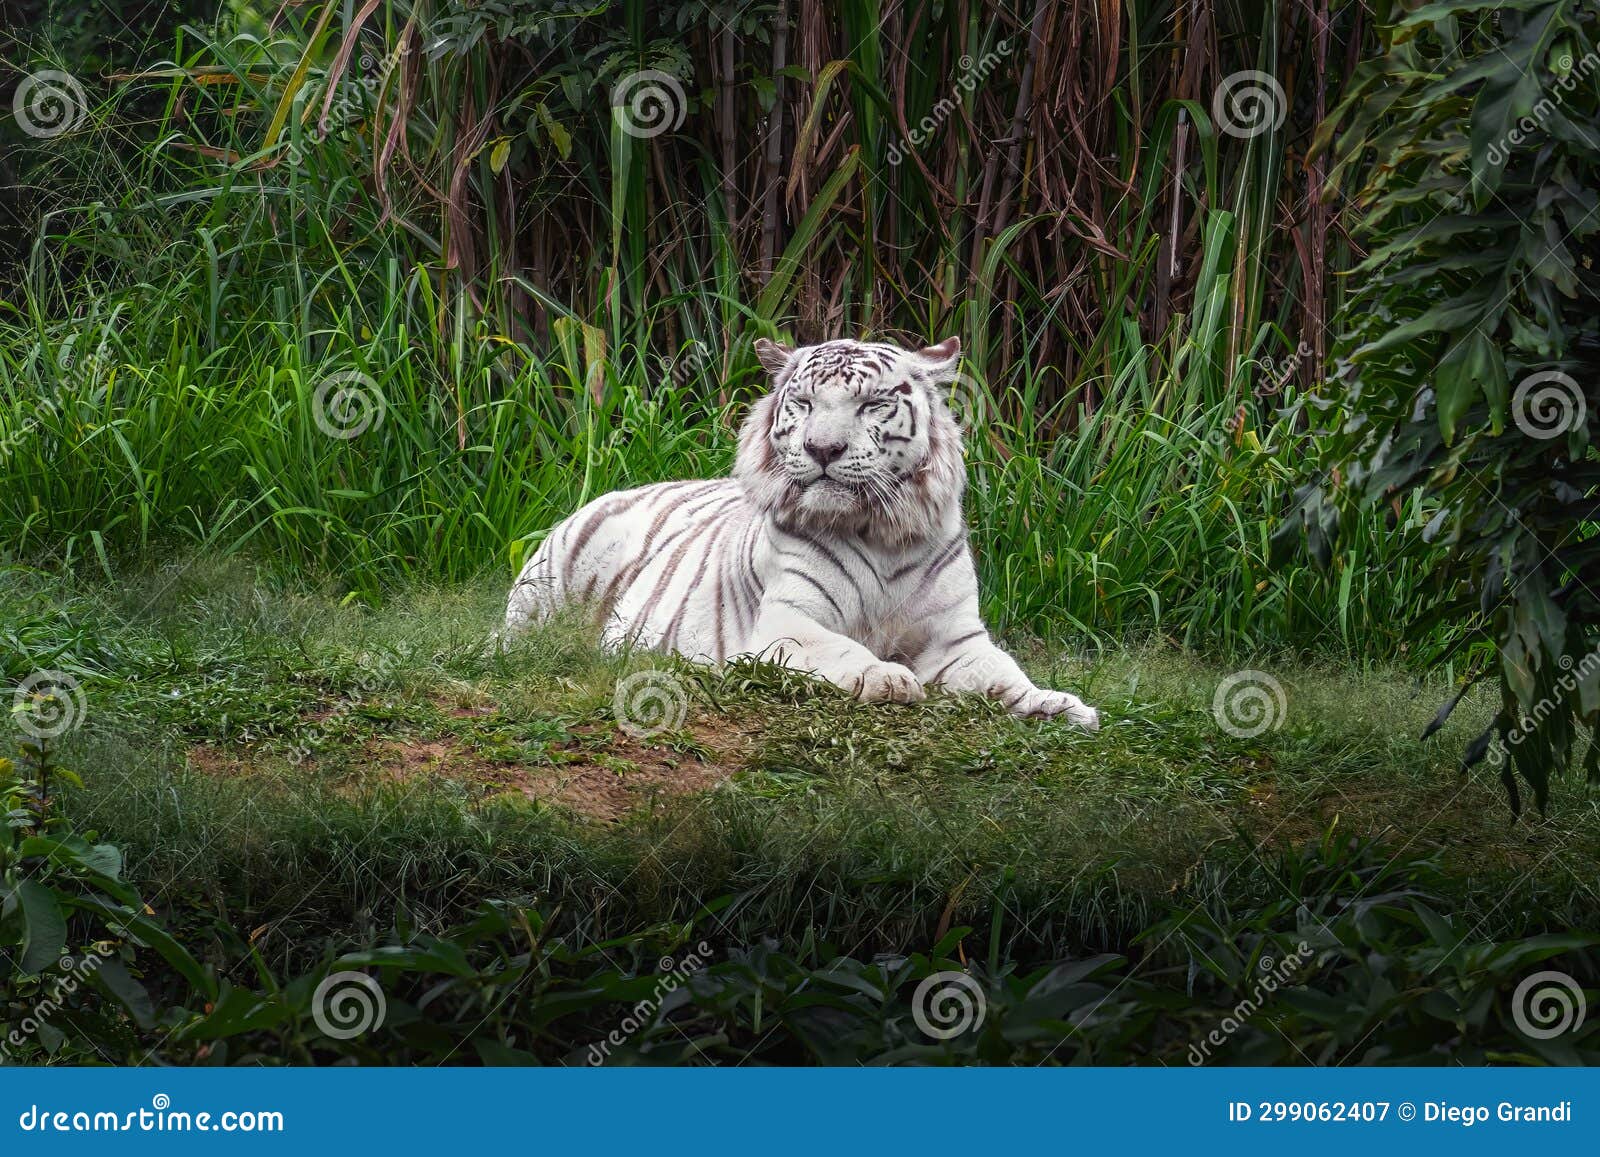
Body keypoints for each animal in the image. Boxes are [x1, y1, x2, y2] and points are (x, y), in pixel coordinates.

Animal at [500, 335, 1099, 727]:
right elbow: (843, 649)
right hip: (540, 602)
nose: (822, 449)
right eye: (805, 402)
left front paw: (1059, 703)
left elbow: (1006, 672)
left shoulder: (956, 638)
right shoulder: (788, 624)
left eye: (872, 402)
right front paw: (888, 679)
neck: (879, 532)